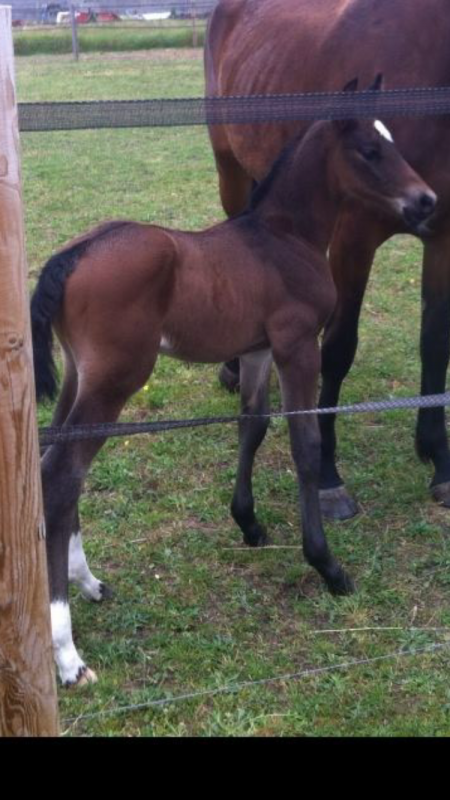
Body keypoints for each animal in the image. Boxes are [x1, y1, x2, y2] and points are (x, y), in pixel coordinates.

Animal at [31, 92, 436, 686]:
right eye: (369, 149)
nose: (427, 200)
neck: (283, 237)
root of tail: (73, 254)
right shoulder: (298, 346)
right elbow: (305, 445)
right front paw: (328, 565)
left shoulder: (258, 350)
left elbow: (253, 424)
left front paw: (248, 523)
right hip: (114, 380)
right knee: (63, 475)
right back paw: (66, 651)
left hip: (80, 377)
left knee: (56, 467)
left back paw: (88, 583)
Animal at [205, 0, 450, 521]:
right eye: (369, 150)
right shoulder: (354, 239)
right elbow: (338, 347)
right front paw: (328, 477)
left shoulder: (444, 235)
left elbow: (435, 342)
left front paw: (439, 458)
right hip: (230, 170)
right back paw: (234, 368)